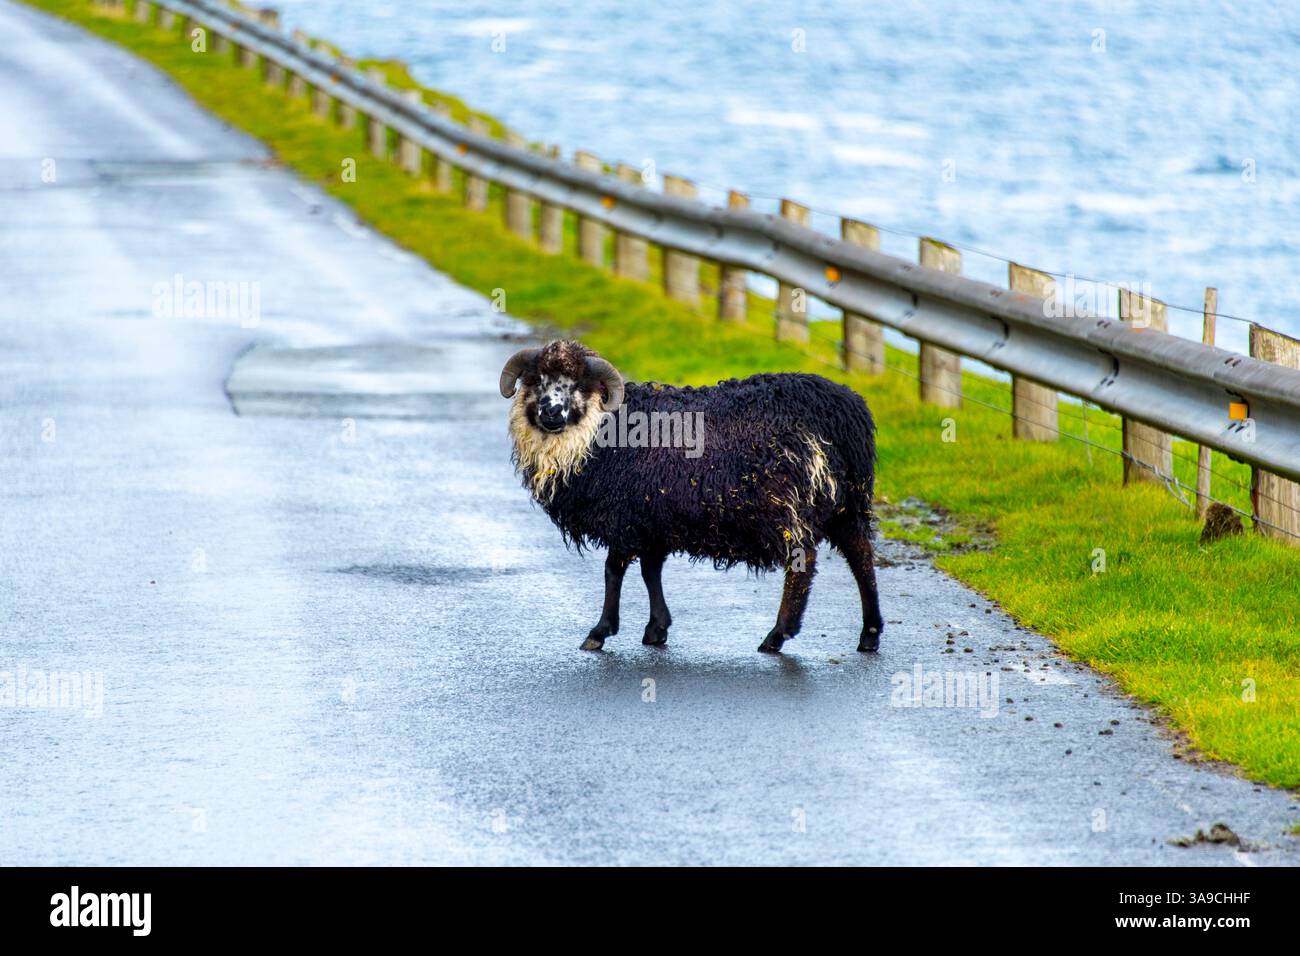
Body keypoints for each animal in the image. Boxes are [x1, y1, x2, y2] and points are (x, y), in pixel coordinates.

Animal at [499, 339, 883, 654]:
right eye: (537, 379)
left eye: (579, 384)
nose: (550, 412)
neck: (598, 432)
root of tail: (843, 410)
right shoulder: (651, 517)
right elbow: (650, 571)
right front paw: (657, 628)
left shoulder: (625, 515)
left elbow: (613, 571)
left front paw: (600, 631)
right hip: (847, 502)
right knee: (861, 557)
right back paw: (870, 634)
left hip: (791, 506)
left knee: (803, 565)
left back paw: (778, 635)